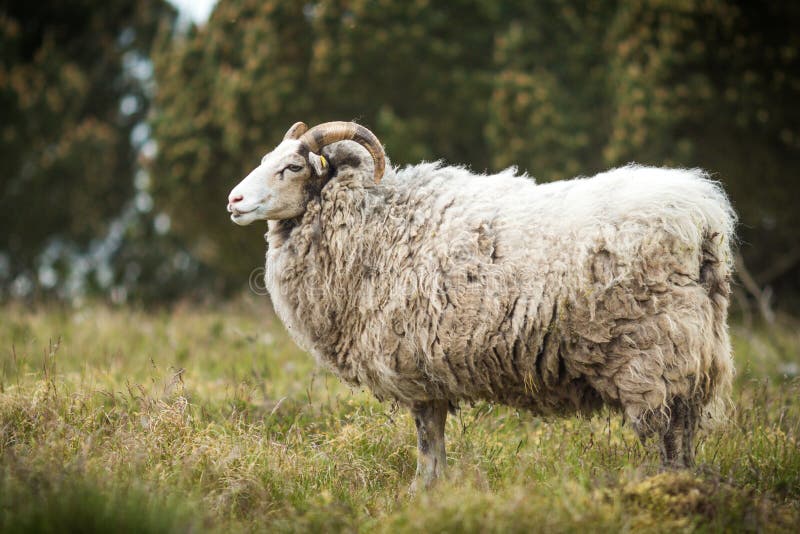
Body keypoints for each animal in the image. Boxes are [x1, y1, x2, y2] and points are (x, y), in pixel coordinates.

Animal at [226, 121, 736, 488]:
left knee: (672, 431)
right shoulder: (427, 369)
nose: (234, 200)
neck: (373, 221)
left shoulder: (413, 366)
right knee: (685, 428)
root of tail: (703, 217)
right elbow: (434, 441)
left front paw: (421, 492)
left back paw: (668, 488)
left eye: (293, 168)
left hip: (657, 350)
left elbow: (427, 439)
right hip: (694, 349)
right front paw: (433, 491)